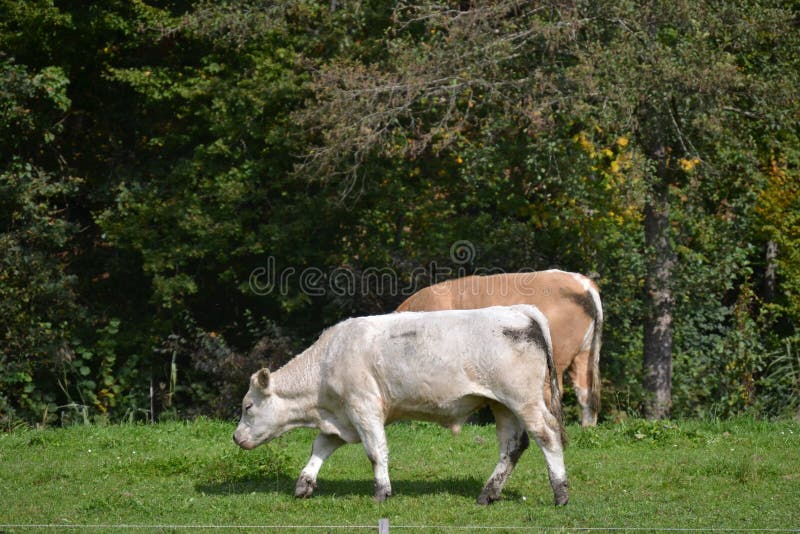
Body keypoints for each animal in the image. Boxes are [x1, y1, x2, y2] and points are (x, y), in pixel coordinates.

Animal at [234, 305, 569, 506]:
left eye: (248, 406)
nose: (236, 437)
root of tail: (517, 309)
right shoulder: (340, 418)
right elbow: (319, 448)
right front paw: (304, 485)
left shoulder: (364, 408)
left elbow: (375, 451)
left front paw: (382, 491)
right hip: (502, 405)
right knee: (512, 446)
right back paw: (488, 493)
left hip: (524, 400)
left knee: (548, 436)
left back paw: (560, 493)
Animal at [397, 270, 603, 427]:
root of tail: (583, 283)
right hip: (584, 353)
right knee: (584, 392)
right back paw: (587, 428)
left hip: (556, 357)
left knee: (553, 392)